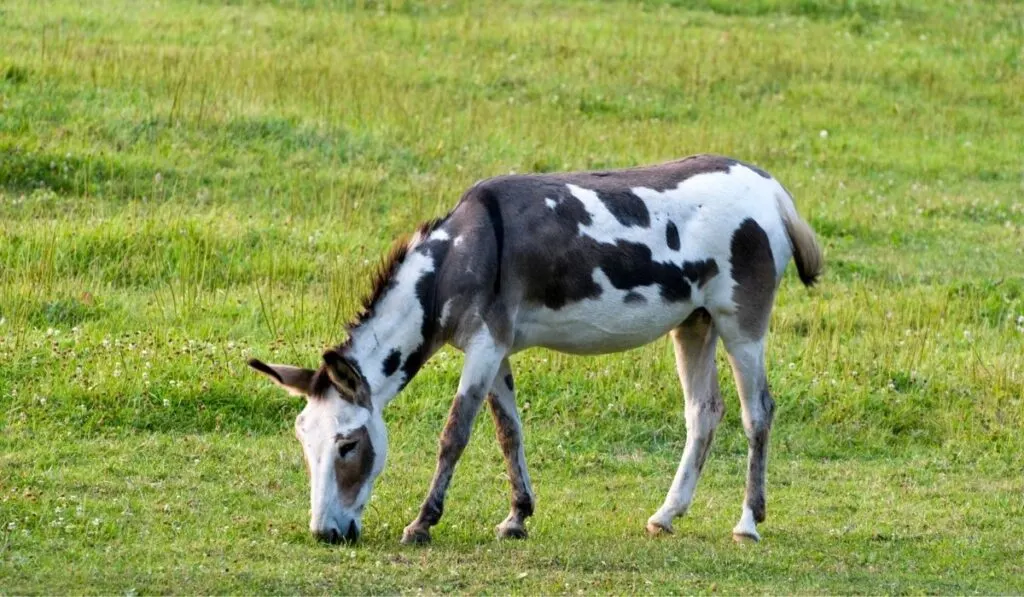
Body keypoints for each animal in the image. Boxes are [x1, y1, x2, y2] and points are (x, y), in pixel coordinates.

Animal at [248, 154, 822, 545]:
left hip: (740, 323)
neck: (457, 258)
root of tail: (769, 186)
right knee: (704, 411)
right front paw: (517, 516)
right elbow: (509, 431)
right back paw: (666, 515)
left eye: (347, 445)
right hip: (694, 324)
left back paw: (748, 522)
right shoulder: (497, 349)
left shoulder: (484, 346)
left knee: (757, 412)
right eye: (303, 441)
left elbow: (454, 434)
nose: (325, 534)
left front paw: (422, 523)